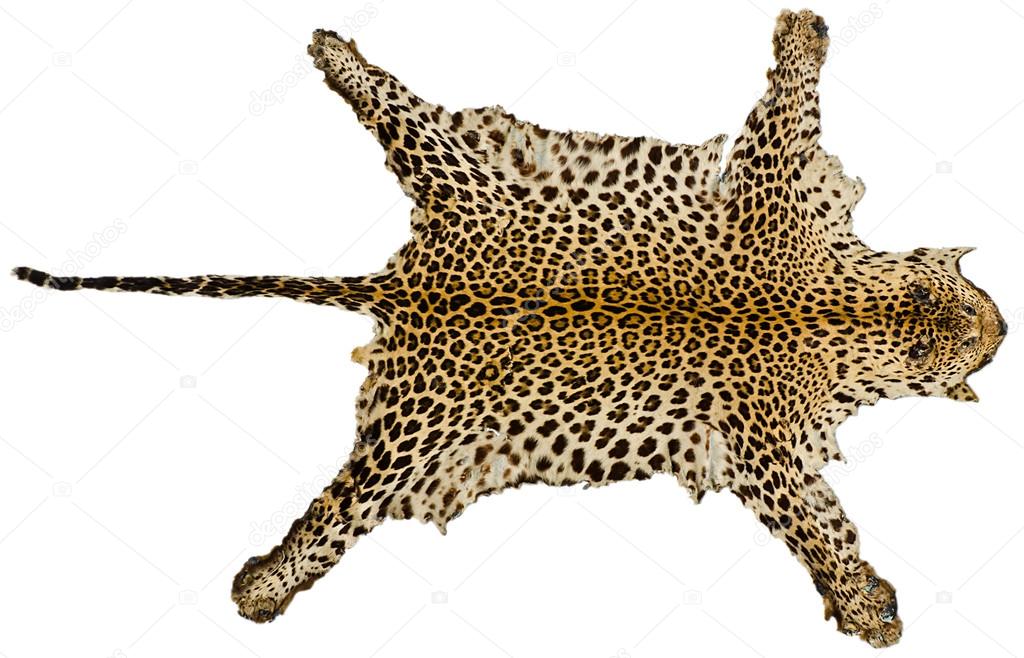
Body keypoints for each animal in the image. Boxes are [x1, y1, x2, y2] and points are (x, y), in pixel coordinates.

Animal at [13, 9, 1006, 648]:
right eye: (962, 317)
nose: (999, 331)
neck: (842, 310)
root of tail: (407, 281)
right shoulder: (767, 412)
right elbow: (818, 528)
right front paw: (869, 608)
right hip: (412, 421)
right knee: (334, 518)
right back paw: (266, 583)